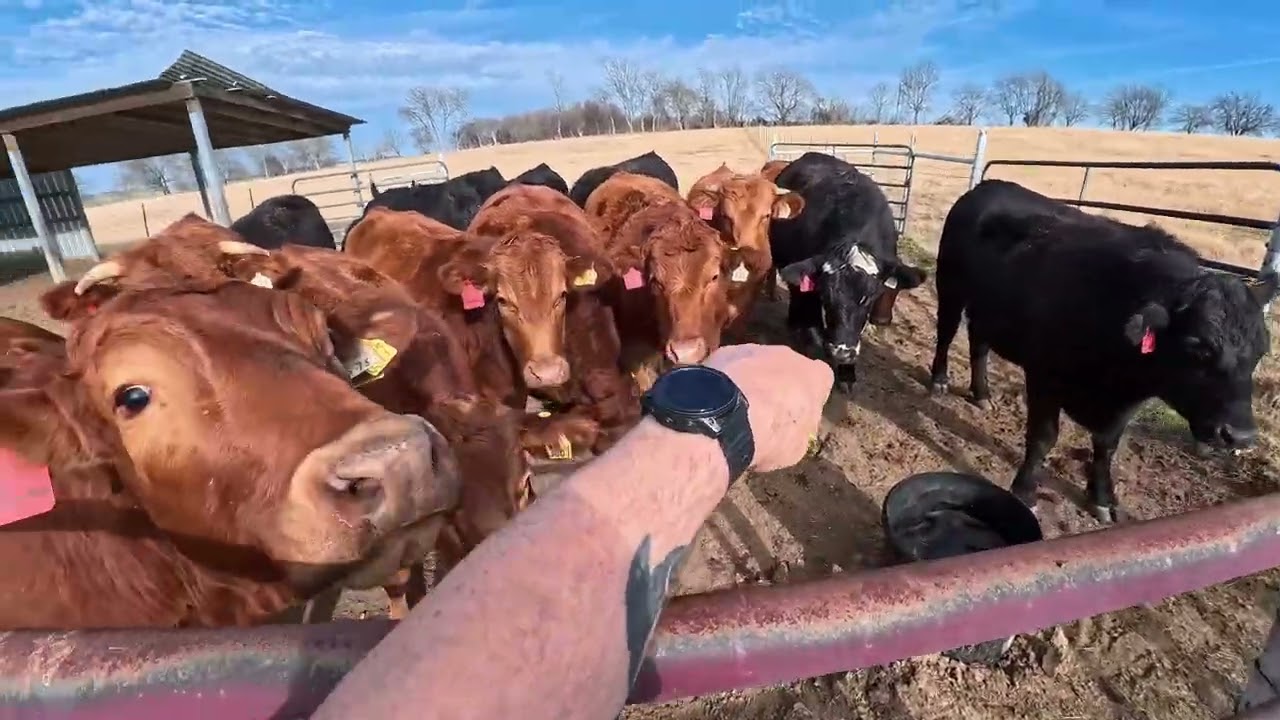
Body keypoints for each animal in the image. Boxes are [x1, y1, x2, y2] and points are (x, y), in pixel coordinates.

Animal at [927, 179, 1276, 523]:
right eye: (1197, 346)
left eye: (1261, 351)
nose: (1241, 436)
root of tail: (989, 185)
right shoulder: (1044, 377)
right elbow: (1044, 437)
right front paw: (1025, 491)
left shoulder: (1124, 404)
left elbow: (1107, 446)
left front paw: (1103, 499)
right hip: (950, 288)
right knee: (945, 334)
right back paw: (939, 380)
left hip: (986, 310)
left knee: (978, 343)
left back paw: (981, 393)